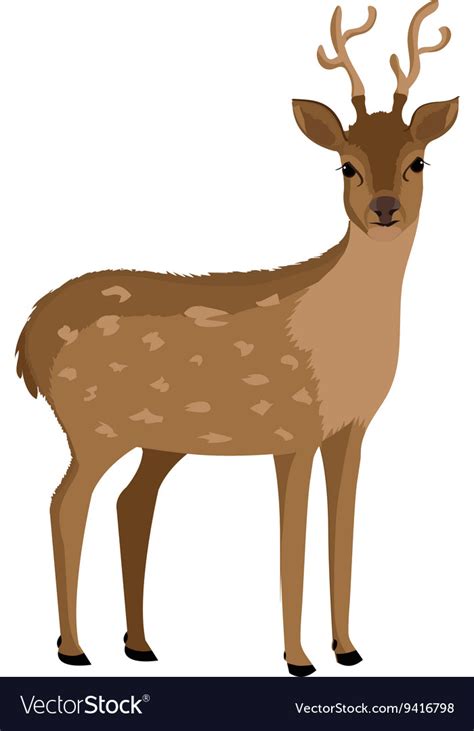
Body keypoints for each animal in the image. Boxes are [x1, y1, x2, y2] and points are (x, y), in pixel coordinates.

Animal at [16, 0, 457, 676]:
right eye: (346, 165)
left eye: (418, 160)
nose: (384, 209)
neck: (341, 335)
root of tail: (29, 341)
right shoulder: (292, 426)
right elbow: (291, 539)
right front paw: (298, 659)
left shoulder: (350, 428)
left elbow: (344, 530)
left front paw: (348, 649)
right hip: (92, 427)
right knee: (65, 503)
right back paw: (73, 649)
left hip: (155, 438)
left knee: (130, 503)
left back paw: (140, 644)